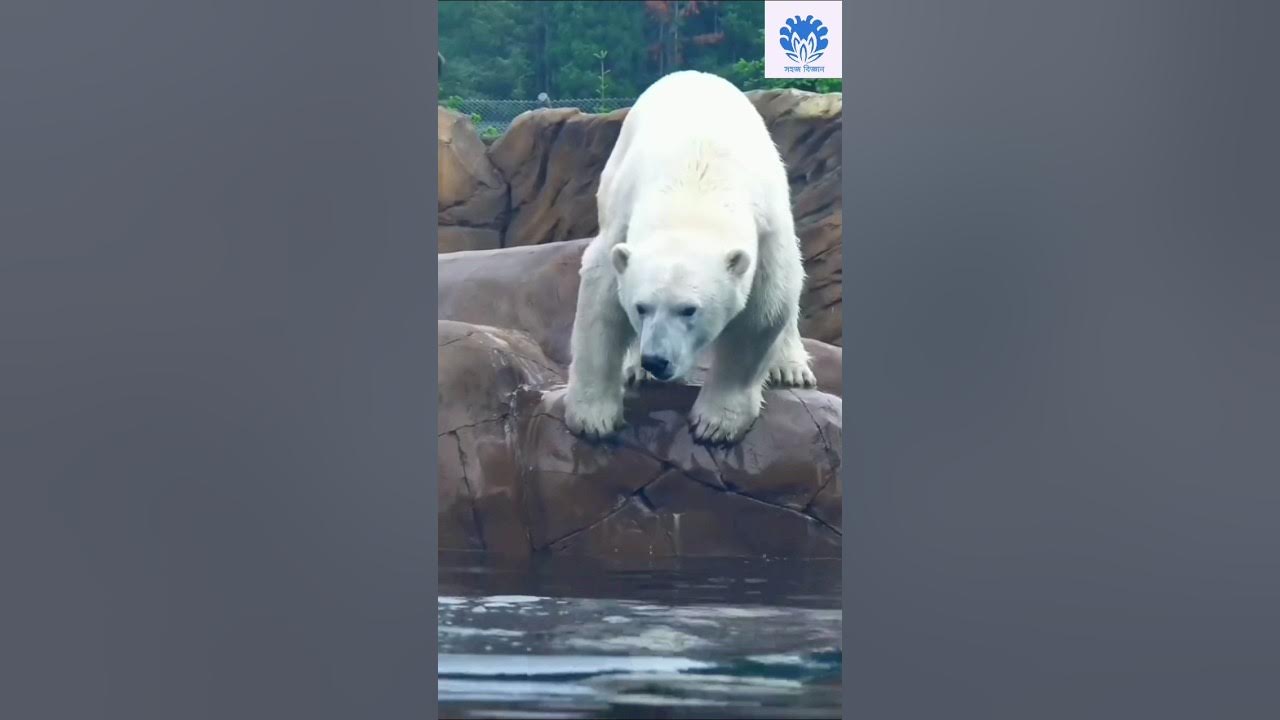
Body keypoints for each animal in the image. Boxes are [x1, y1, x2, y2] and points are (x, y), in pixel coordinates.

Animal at [563, 70, 816, 445]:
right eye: (641, 307)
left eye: (689, 310)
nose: (656, 360)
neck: (694, 190)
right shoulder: (620, 225)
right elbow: (601, 300)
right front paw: (593, 418)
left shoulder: (767, 229)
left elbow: (763, 310)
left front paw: (716, 423)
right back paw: (634, 369)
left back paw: (793, 368)